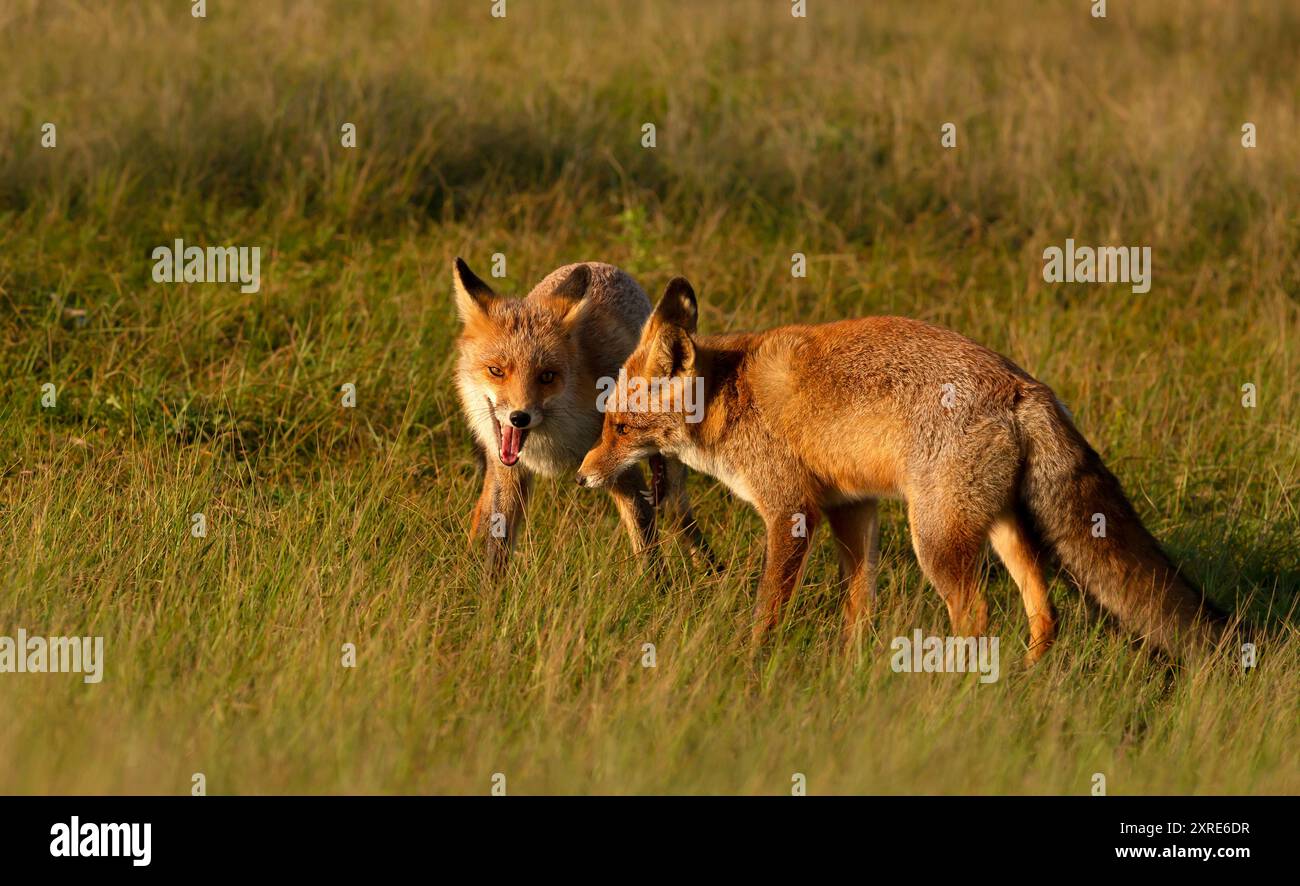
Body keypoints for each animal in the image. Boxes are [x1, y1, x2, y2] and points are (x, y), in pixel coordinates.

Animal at [452, 258, 714, 573]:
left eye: (547, 376)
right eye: (496, 371)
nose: (519, 418)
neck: (553, 440)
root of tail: (598, 265)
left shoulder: (618, 464)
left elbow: (644, 537)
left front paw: (657, 584)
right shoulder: (510, 471)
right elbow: (497, 546)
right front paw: (488, 586)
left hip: (670, 472)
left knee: (680, 515)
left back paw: (710, 569)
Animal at [576, 277, 1229, 661]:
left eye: (622, 429)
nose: (584, 475)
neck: (727, 399)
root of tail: (1025, 387)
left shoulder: (791, 511)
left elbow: (769, 607)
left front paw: (754, 661)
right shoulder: (852, 507)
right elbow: (858, 604)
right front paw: (848, 670)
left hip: (935, 539)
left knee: (978, 616)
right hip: (998, 527)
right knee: (1046, 614)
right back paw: (1026, 683)